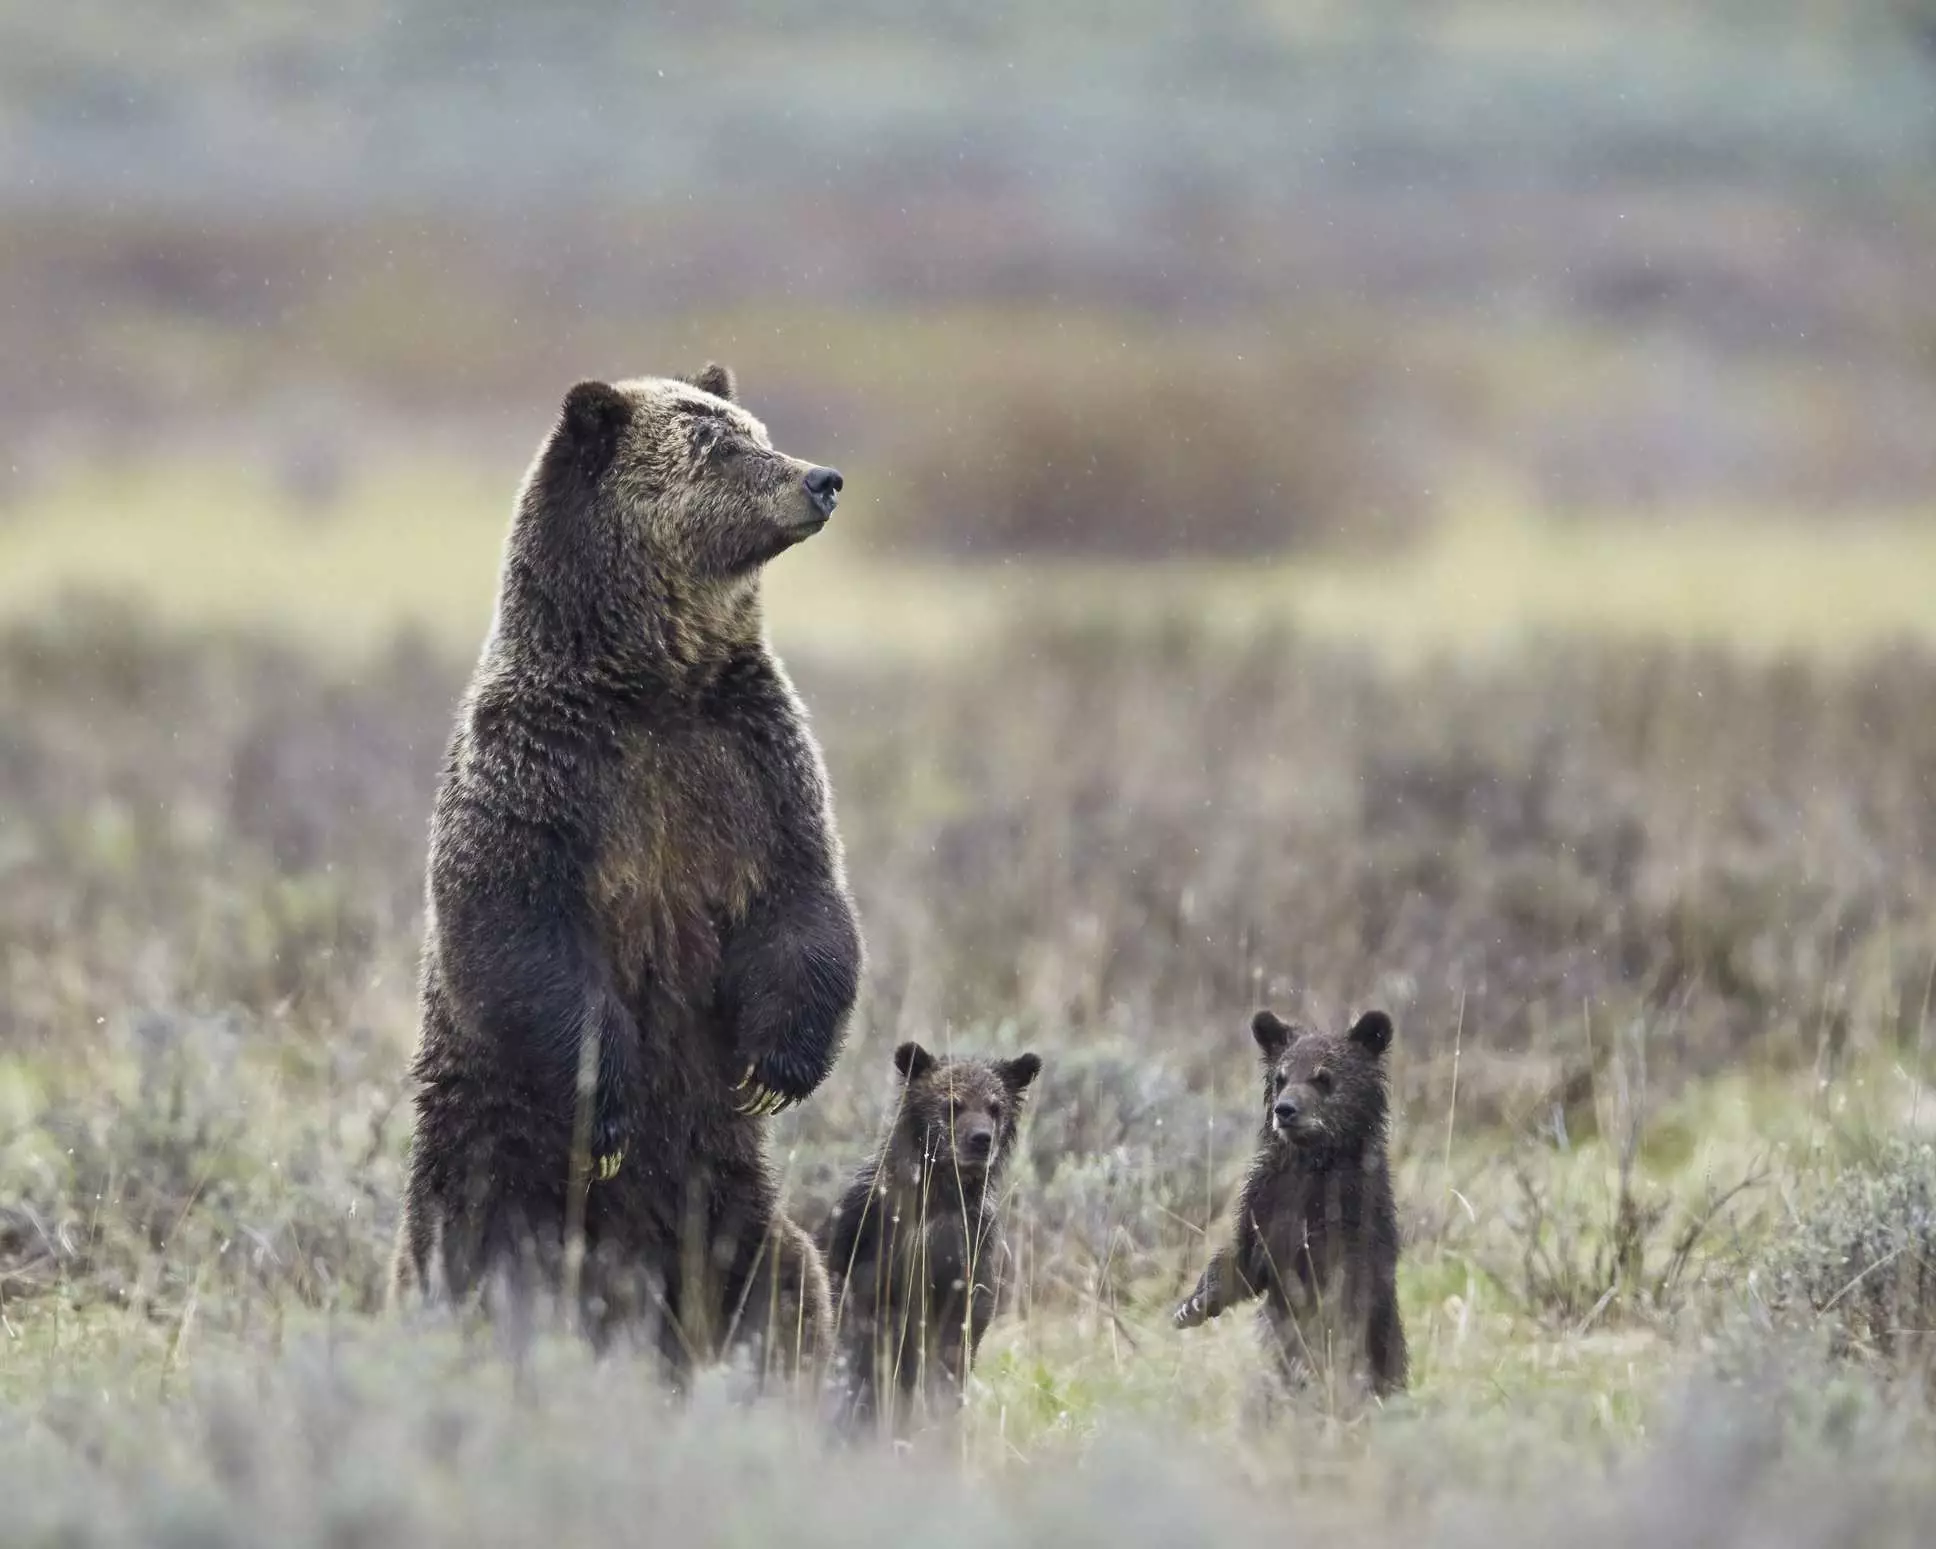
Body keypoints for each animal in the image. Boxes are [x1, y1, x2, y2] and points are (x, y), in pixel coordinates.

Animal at [393, 365, 863, 1394]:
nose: (822, 477)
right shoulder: (545, 775)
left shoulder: (752, 758)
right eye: (713, 445)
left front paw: (776, 1066)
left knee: (784, 1282)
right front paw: (604, 1108)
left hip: (732, 1206)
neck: (654, 682)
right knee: (472, 1273)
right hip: (487, 1173)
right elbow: (516, 931)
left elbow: (806, 900)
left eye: (754, 425)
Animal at [816, 1045, 1045, 1432]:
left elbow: (957, 1339)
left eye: (995, 1106)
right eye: (953, 1103)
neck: (935, 1196)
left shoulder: (970, 1248)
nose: (980, 1139)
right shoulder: (866, 1236)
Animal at [1169, 1006, 1401, 1401]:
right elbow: (1244, 1260)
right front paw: (1192, 1305)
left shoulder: (1347, 1217)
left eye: (1323, 1077)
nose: (1286, 1110)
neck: (1312, 1164)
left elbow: (1335, 1287)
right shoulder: (1268, 1201)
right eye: (1281, 1076)